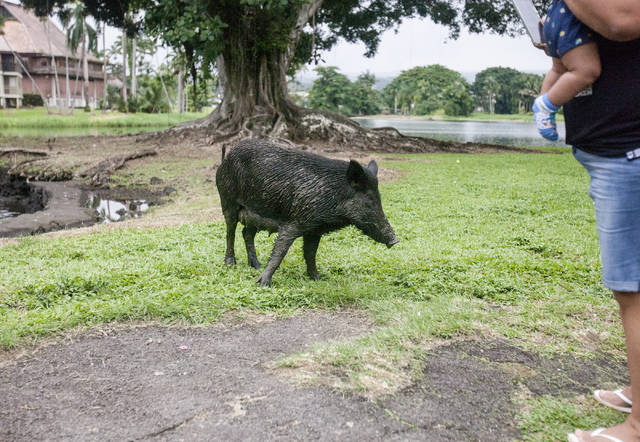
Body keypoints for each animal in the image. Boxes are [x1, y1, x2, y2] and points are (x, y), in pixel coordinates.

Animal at [216, 139, 399, 286]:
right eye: (369, 201)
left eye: (379, 198)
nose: (395, 240)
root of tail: (225, 159)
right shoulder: (294, 222)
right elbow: (280, 252)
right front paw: (262, 284)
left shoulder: (314, 230)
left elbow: (310, 254)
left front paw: (318, 280)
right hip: (227, 200)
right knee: (230, 231)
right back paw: (231, 264)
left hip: (254, 212)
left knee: (247, 233)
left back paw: (256, 265)